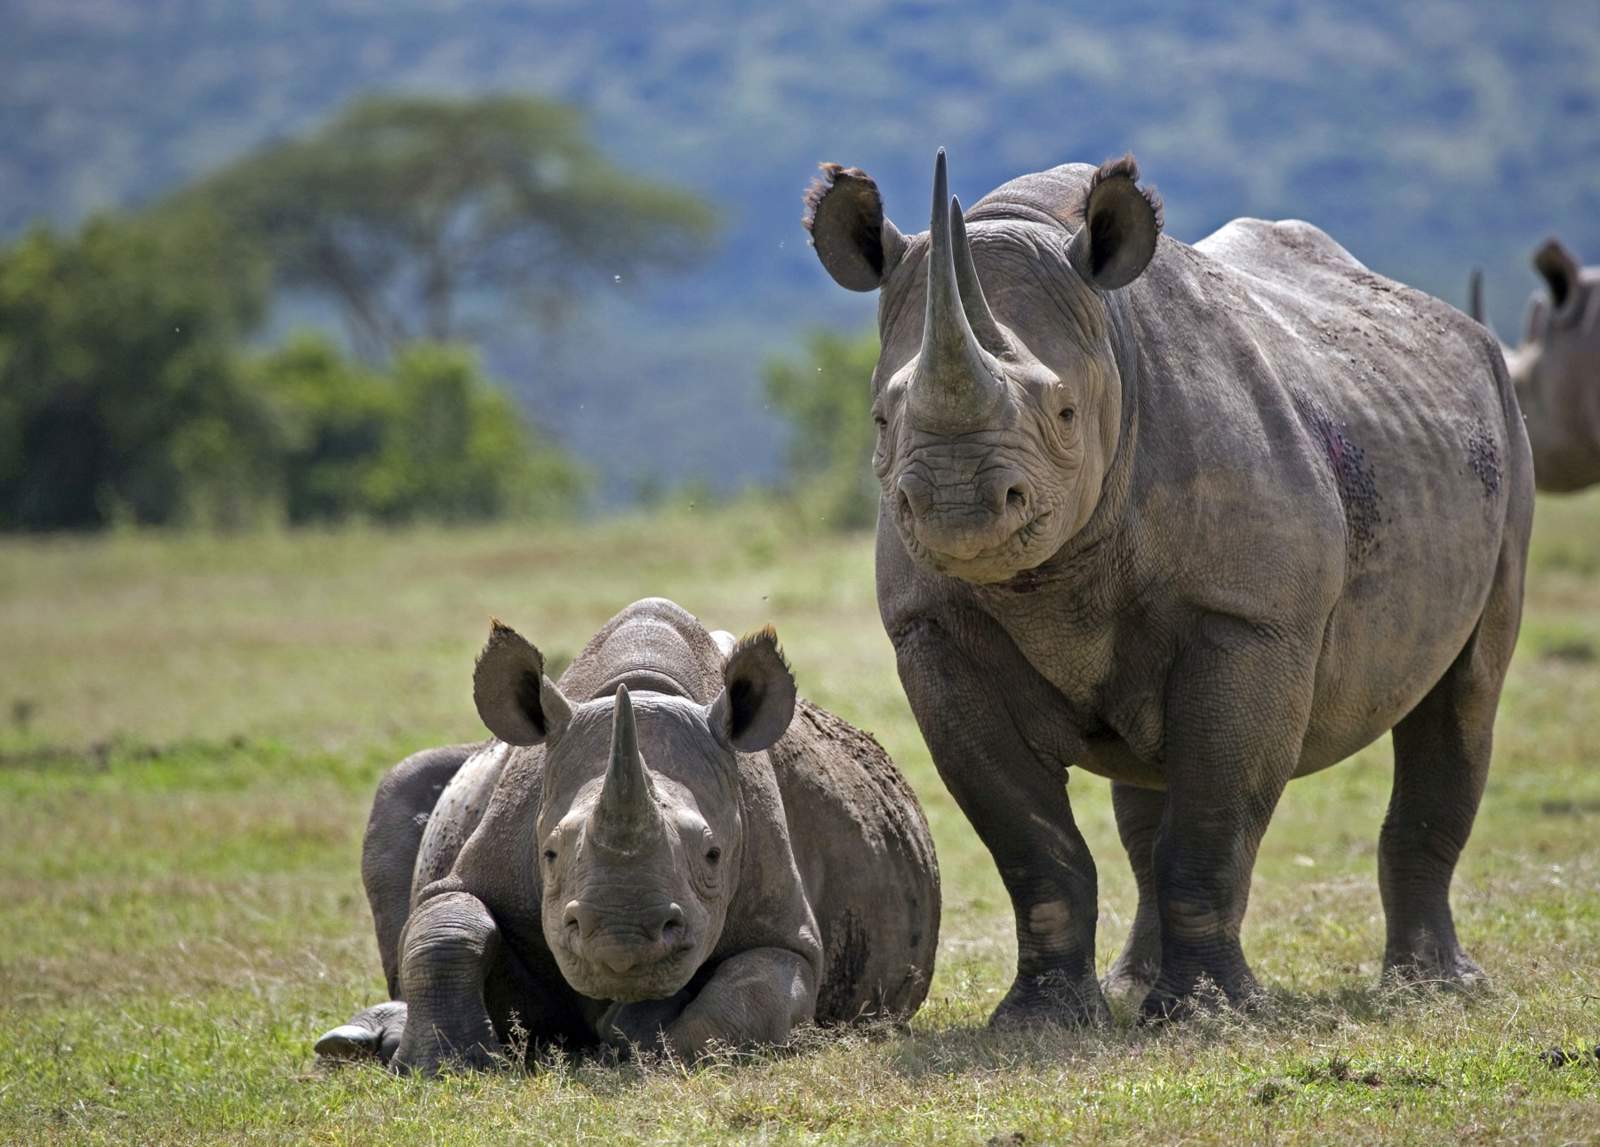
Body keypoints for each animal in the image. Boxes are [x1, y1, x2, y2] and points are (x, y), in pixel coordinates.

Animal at [316, 598, 939, 1072]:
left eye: (713, 855)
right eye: (548, 853)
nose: (620, 943)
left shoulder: (788, 929)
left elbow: (752, 991)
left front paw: (641, 1042)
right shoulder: (483, 860)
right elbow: (447, 923)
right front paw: (442, 1066)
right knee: (403, 789)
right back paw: (356, 1043)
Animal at [803, 150, 1531, 1023]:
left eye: (1065, 413)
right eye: (882, 420)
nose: (955, 505)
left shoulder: (1251, 617)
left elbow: (1212, 819)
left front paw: (1214, 1014)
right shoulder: (933, 631)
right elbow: (1030, 842)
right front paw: (1042, 1018)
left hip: (1505, 427)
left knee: (1466, 692)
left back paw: (1436, 988)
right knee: (1146, 784)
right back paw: (1133, 986)